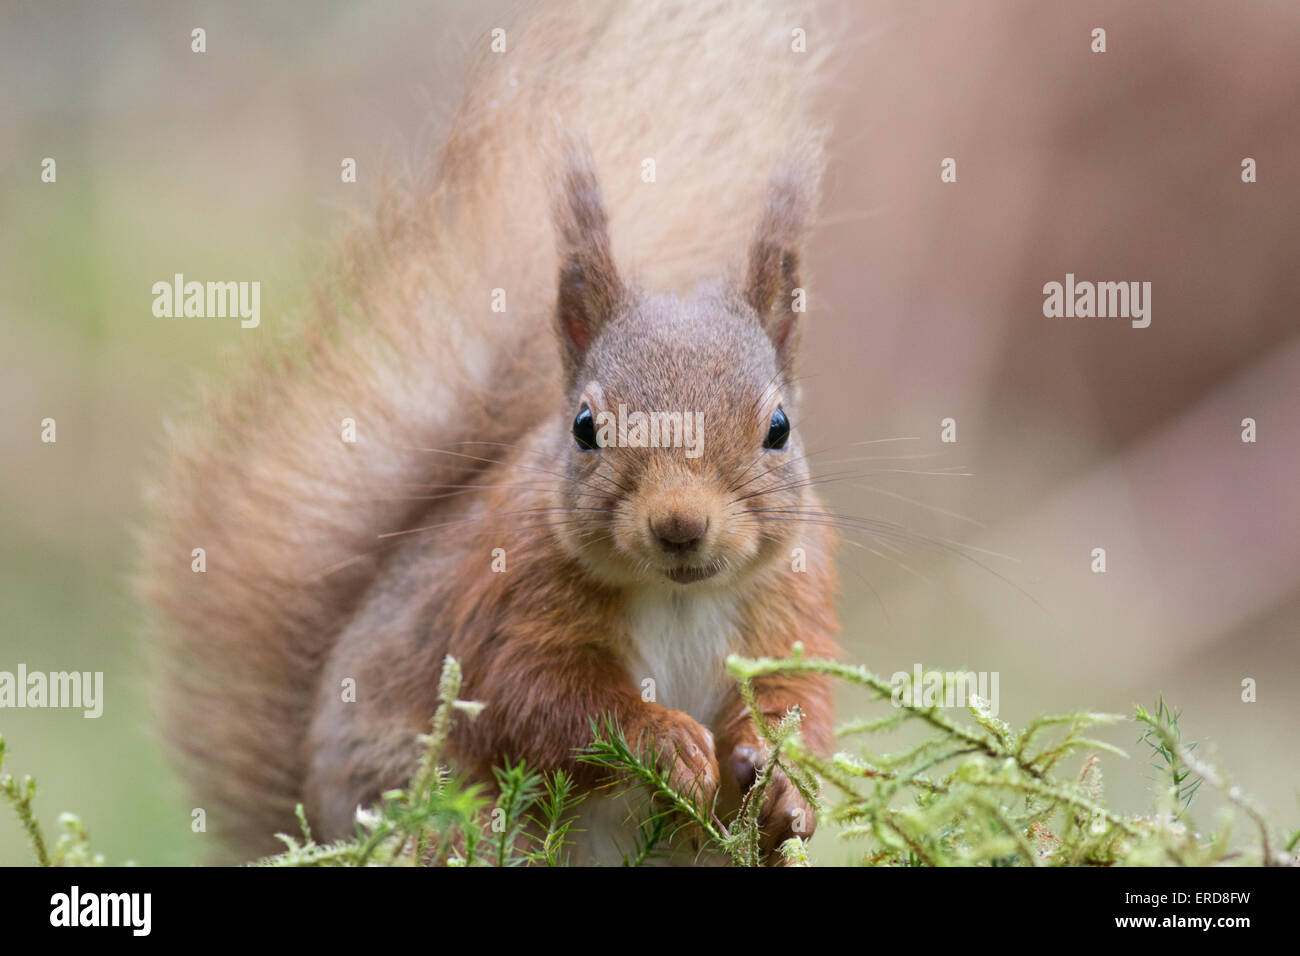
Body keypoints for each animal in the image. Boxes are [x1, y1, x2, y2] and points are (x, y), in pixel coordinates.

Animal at [140, 0, 839, 865]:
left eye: (778, 427)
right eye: (584, 428)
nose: (680, 524)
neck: (678, 595)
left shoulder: (794, 605)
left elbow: (800, 700)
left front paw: (781, 780)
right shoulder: (508, 599)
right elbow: (540, 699)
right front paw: (666, 742)